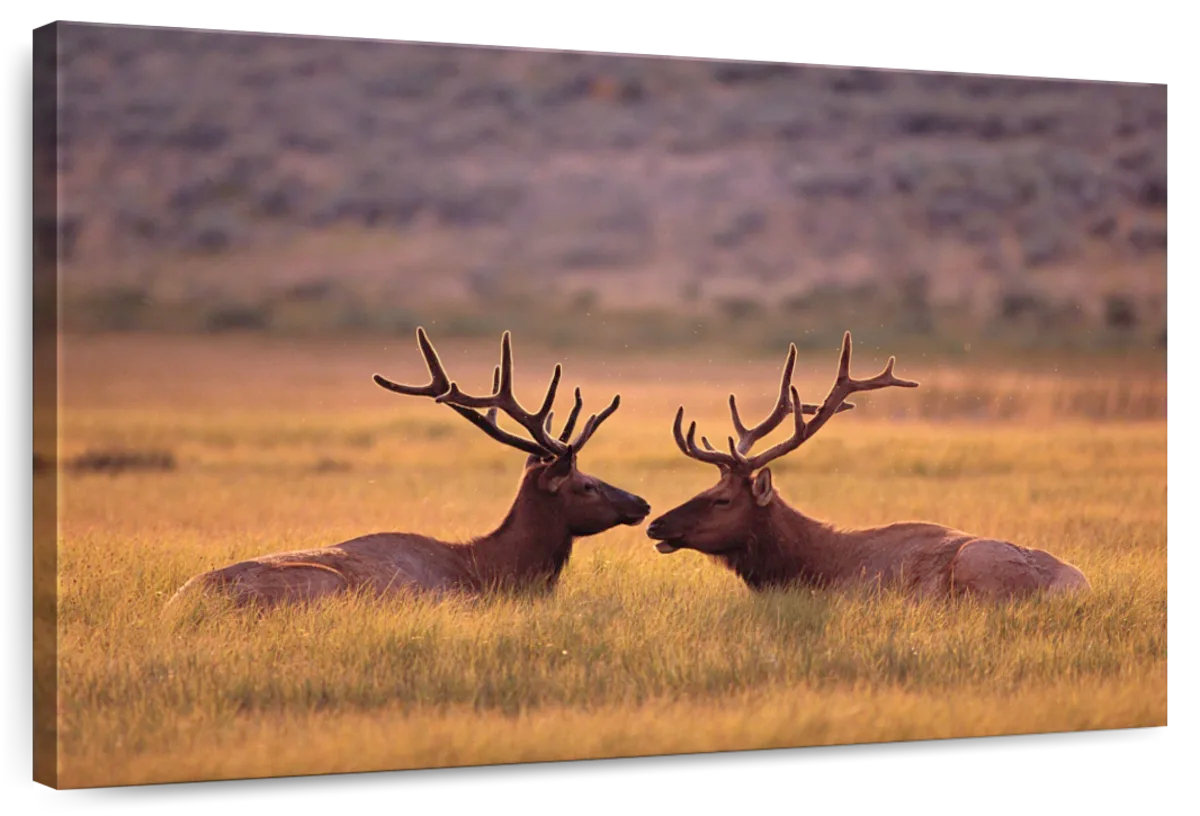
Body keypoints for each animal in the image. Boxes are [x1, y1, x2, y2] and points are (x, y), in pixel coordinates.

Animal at [646, 332, 1089, 599]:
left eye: (721, 499)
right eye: (703, 489)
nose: (656, 524)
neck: (809, 566)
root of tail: (1072, 588)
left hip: (976, 564)